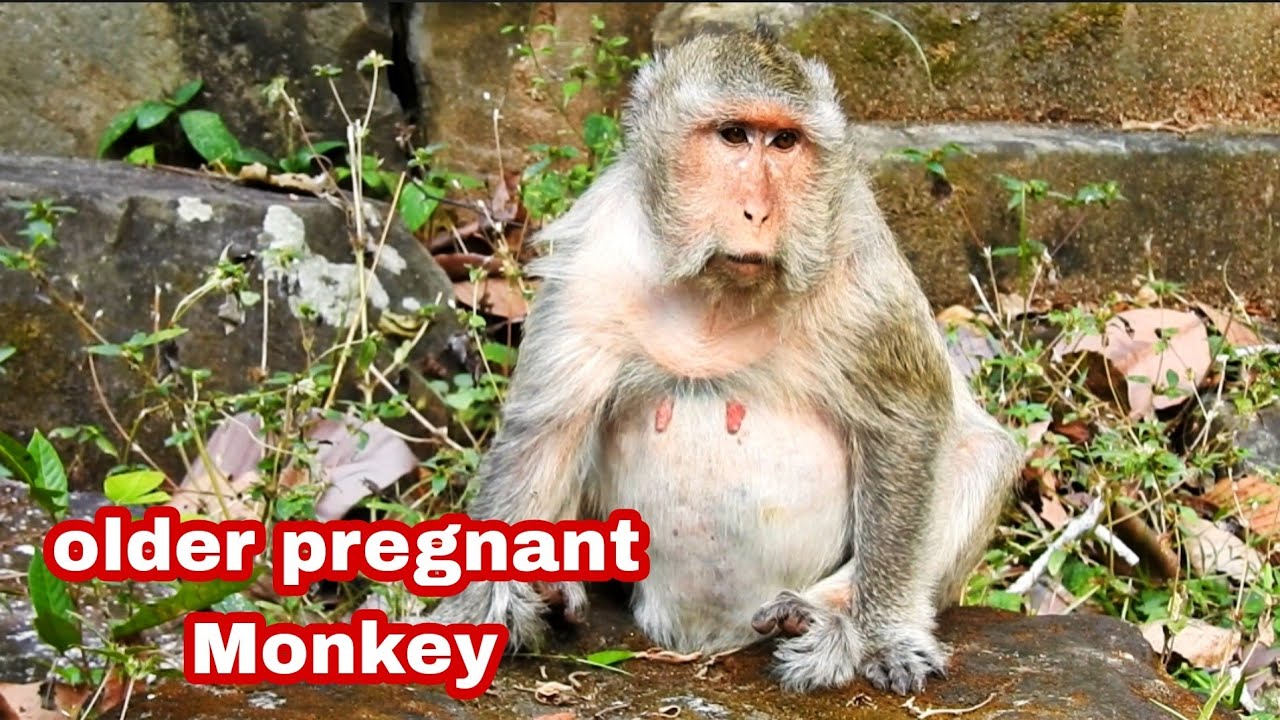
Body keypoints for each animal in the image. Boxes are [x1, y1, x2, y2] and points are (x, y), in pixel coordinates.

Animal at [427, 28, 1023, 695]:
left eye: (785, 141)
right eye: (734, 135)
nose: (758, 213)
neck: (717, 292)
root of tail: (700, 637)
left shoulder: (859, 264)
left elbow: (907, 421)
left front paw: (885, 632)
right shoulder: (591, 262)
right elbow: (545, 434)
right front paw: (472, 612)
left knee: (979, 452)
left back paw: (816, 613)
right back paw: (552, 601)